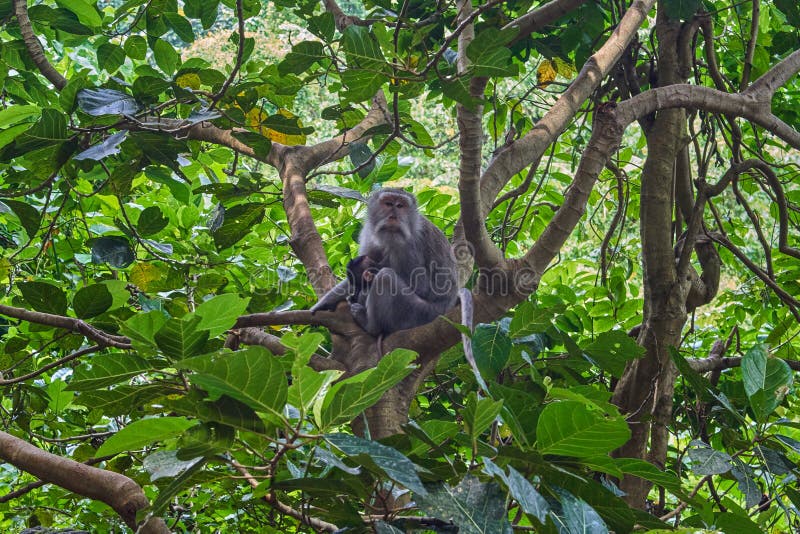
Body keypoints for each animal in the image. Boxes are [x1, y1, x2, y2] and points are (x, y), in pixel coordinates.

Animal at [310, 188, 459, 336]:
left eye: (400, 206)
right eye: (388, 204)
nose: (393, 217)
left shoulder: (408, 246)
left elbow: (421, 287)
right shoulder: (368, 233)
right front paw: (324, 303)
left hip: (418, 313)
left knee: (385, 276)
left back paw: (371, 326)